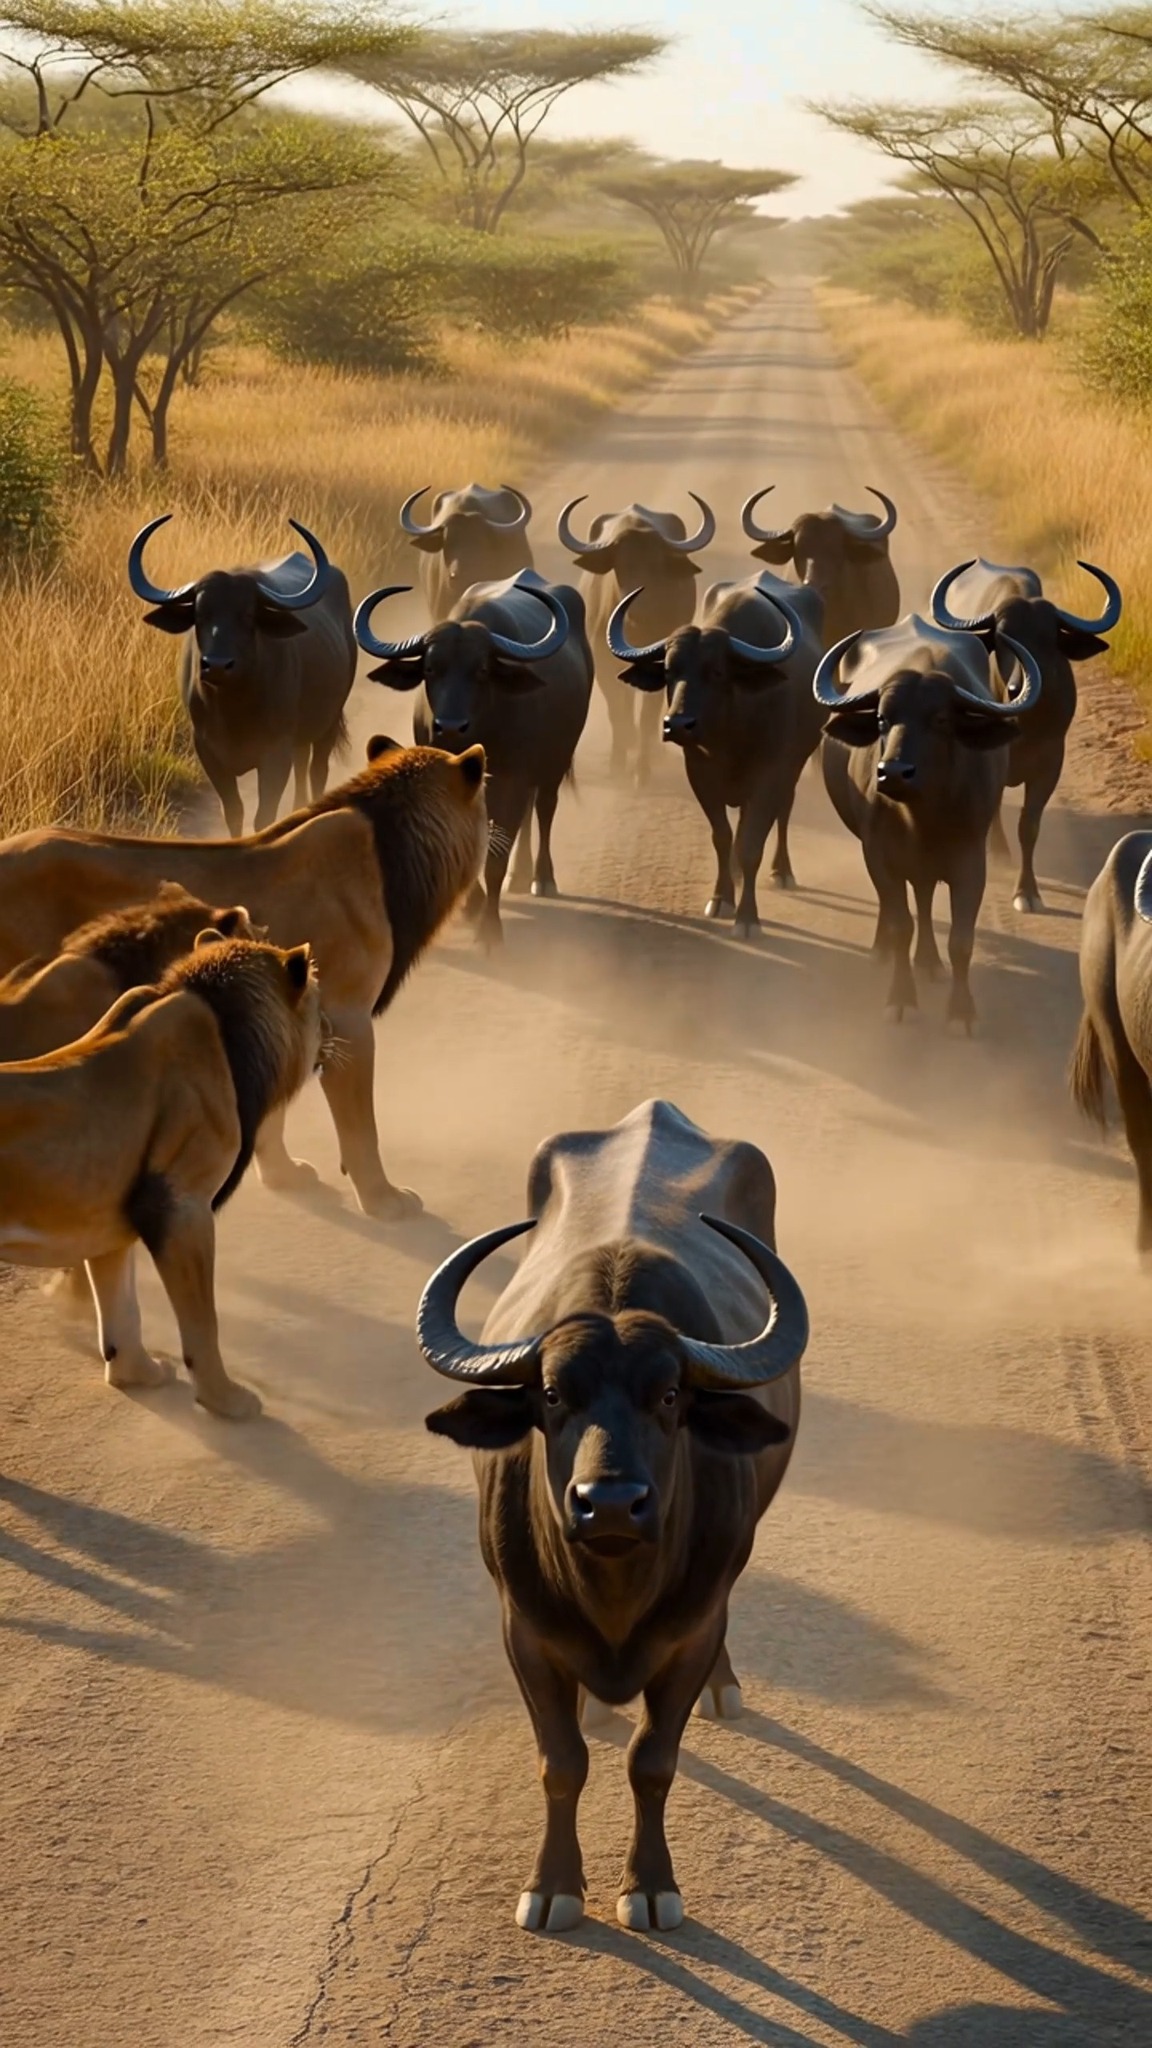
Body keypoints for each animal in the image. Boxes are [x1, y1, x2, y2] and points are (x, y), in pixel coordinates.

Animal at [0, 932, 327, 1420]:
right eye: (319, 1000)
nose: (330, 1028)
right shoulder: (179, 1204)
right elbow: (203, 1321)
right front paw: (226, 1401)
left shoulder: (108, 1223)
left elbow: (122, 1309)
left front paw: (138, 1375)